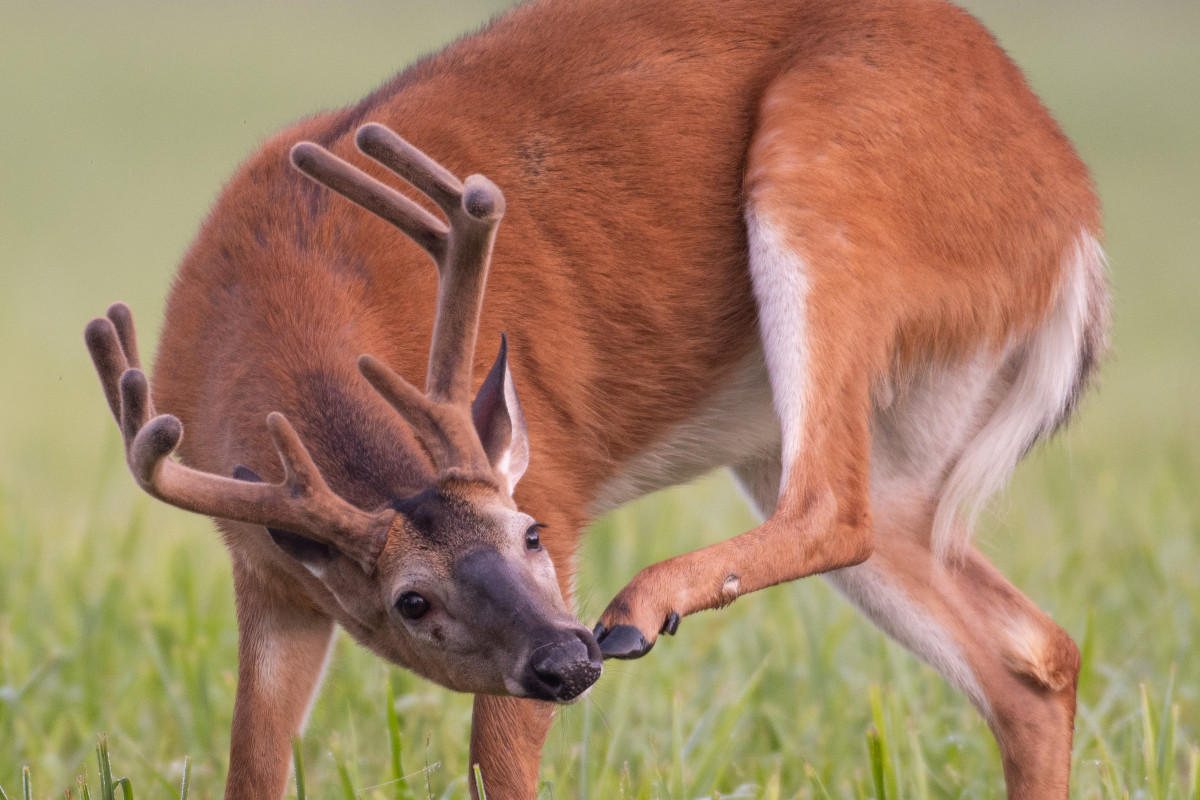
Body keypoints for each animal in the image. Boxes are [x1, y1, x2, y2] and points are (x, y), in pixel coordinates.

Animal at [83, 0, 1109, 797]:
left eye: (530, 533)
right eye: (410, 601)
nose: (566, 657)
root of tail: (1074, 210)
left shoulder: (557, 486)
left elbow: (499, 767)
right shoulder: (269, 578)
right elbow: (251, 768)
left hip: (829, 177)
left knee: (832, 503)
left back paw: (639, 610)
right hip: (858, 441)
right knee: (1032, 654)